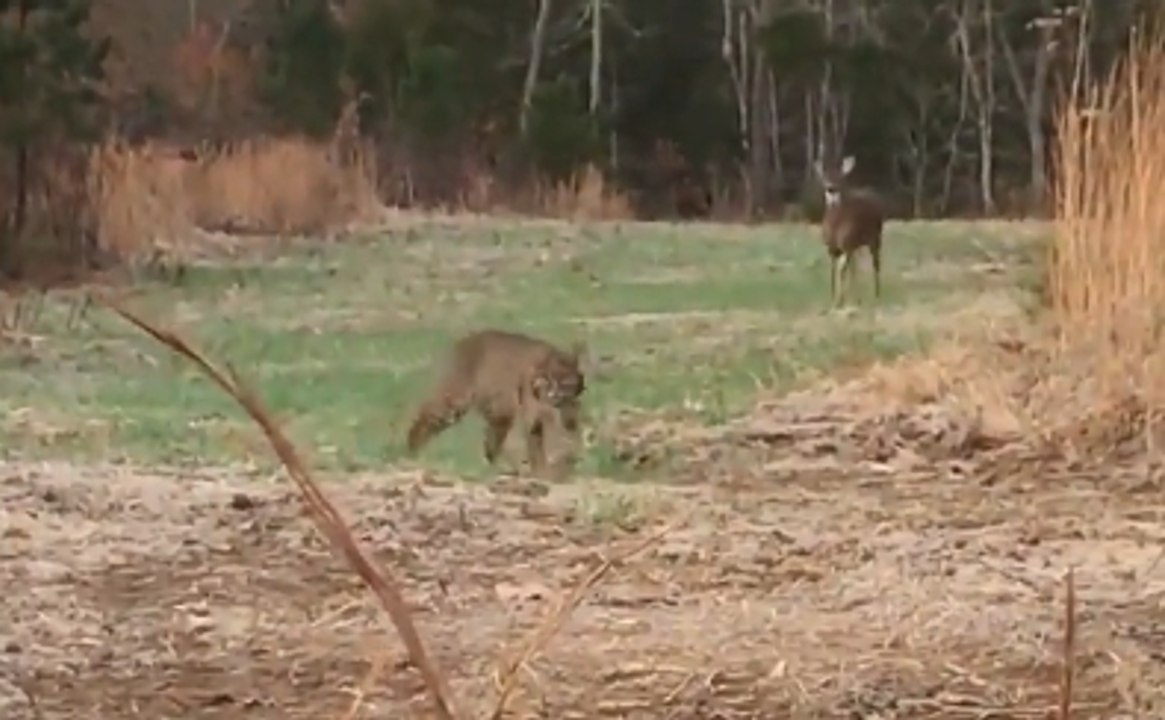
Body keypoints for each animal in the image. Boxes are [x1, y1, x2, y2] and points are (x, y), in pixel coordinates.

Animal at [816, 155, 885, 309]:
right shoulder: (832, 248)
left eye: (840, 177)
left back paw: (876, 294)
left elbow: (842, 270)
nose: (831, 189)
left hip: (875, 237)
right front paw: (833, 297)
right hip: (856, 245)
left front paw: (840, 300)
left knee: (876, 263)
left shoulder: (847, 244)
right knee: (855, 267)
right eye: (824, 177)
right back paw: (857, 297)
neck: (835, 225)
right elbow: (833, 271)